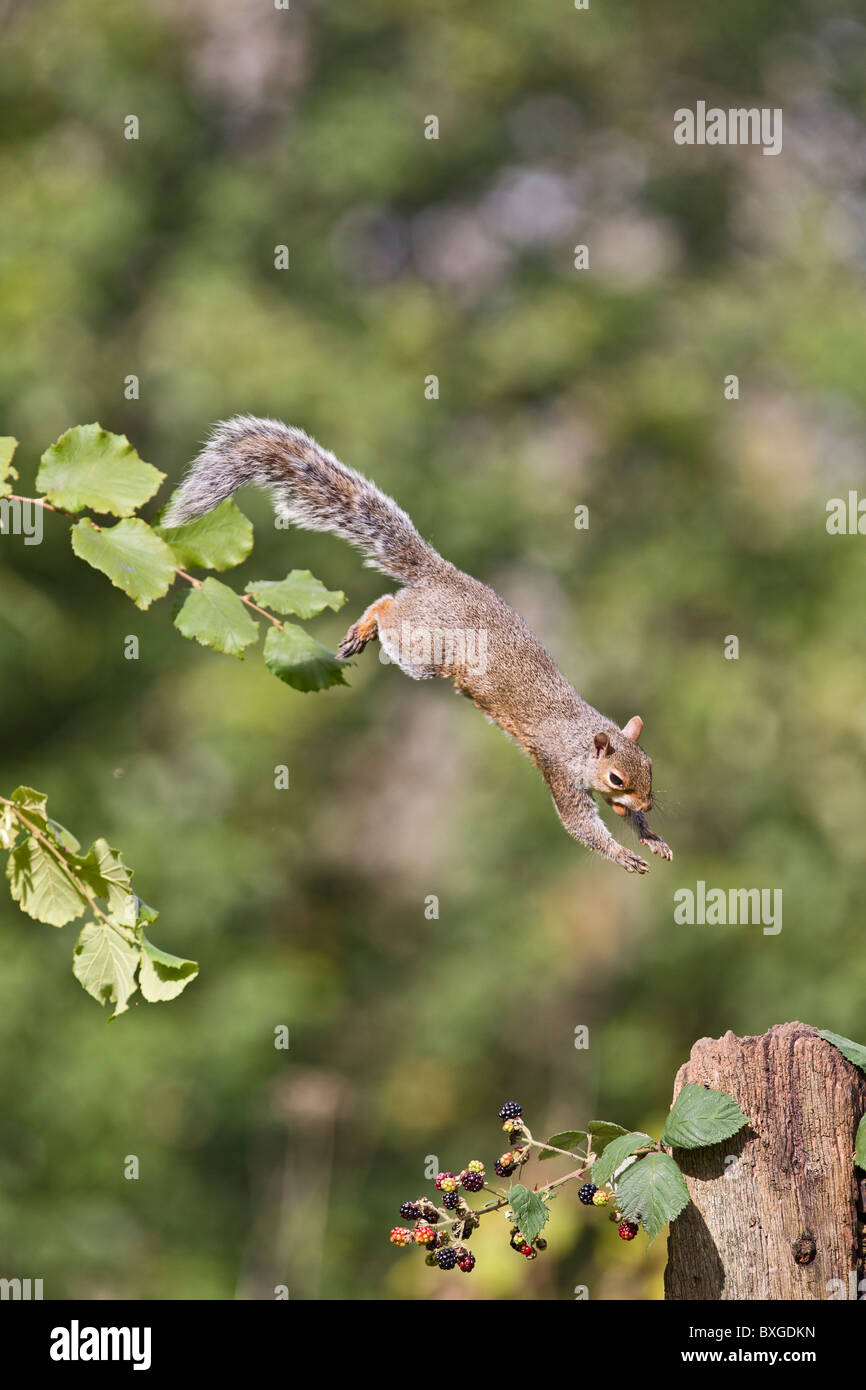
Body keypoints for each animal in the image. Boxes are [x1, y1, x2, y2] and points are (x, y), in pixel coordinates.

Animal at [163, 417, 672, 873]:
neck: (581, 737)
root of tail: (439, 575)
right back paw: (367, 625)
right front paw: (622, 853)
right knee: (388, 605)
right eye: (616, 776)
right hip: (421, 648)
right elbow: (579, 824)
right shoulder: (558, 768)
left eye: (650, 768)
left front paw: (650, 835)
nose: (648, 802)